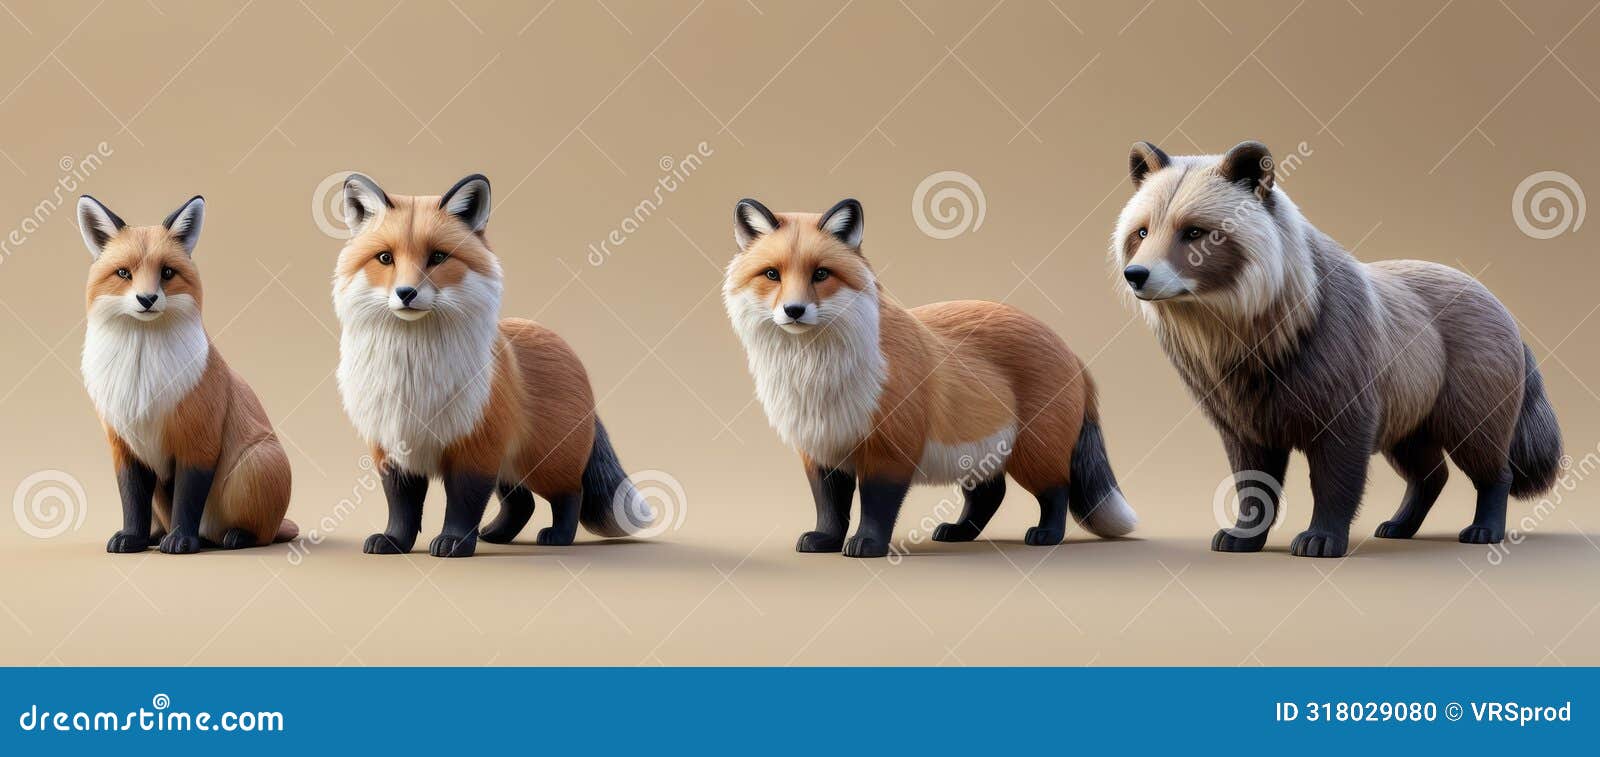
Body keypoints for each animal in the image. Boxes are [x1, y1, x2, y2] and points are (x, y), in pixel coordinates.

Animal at [75, 195, 296, 553]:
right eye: (123, 273)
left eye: (167, 272)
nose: (147, 299)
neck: (140, 372)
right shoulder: (124, 446)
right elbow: (132, 499)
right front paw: (132, 537)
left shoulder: (197, 443)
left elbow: (188, 499)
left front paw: (181, 540)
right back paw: (157, 536)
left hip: (255, 464)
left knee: (262, 533)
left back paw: (234, 536)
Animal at [333, 173, 650, 558]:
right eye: (384, 258)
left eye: (437, 257)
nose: (406, 293)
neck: (414, 373)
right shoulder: (393, 448)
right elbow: (402, 506)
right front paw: (394, 541)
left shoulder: (476, 448)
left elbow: (464, 502)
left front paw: (454, 542)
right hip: (510, 467)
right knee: (522, 503)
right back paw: (497, 534)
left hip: (545, 462)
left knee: (569, 494)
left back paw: (558, 536)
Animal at [724, 198, 1136, 558]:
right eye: (772, 274)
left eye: (821, 274)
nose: (794, 310)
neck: (812, 376)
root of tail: (1071, 352)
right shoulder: (822, 449)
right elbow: (829, 507)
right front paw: (825, 540)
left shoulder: (889, 450)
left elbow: (877, 506)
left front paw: (867, 545)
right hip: (980, 454)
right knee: (990, 495)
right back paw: (959, 532)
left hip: (1034, 452)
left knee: (1057, 490)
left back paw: (1047, 534)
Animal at [1112, 140, 1563, 558]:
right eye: (1142, 231)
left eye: (1193, 231)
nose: (1136, 274)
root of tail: (1504, 311)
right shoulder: (1240, 410)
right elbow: (1251, 477)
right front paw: (1242, 534)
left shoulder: (1341, 381)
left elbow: (1336, 474)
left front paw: (1321, 536)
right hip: (1412, 405)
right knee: (1427, 471)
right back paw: (1400, 523)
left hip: (1470, 387)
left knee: (1487, 457)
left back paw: (1485, 526)